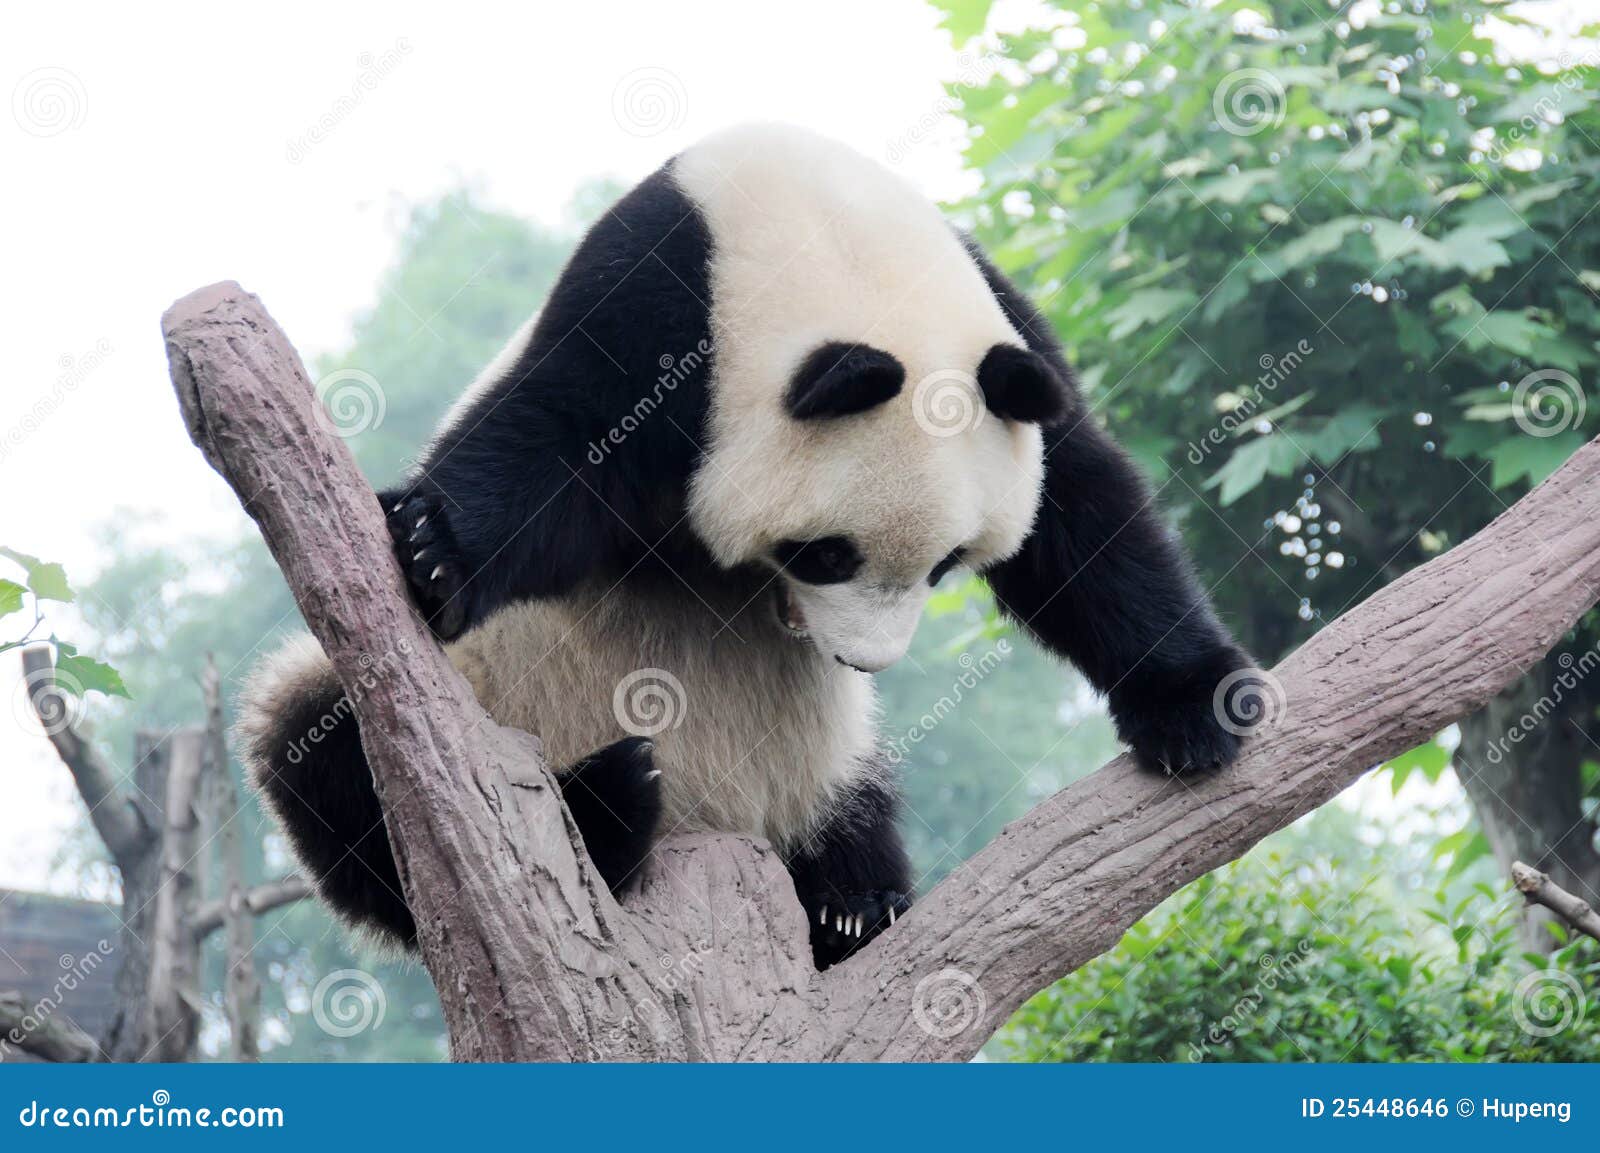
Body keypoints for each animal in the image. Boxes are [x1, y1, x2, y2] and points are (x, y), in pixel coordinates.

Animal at [238, 123, 1257, 970]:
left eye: (945, 565)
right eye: (827, 554)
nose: (864, 660)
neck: (810, 223)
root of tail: (712, 828)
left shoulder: (1001, 323)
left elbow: (1080, 513)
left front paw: (1197, 703)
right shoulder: (656, 295)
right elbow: (554, 437)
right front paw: (433, 546)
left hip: (824, 759)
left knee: (854, 801)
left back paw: (849, 903)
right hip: (478, 702)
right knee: (320, 758)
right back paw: (609, 808)